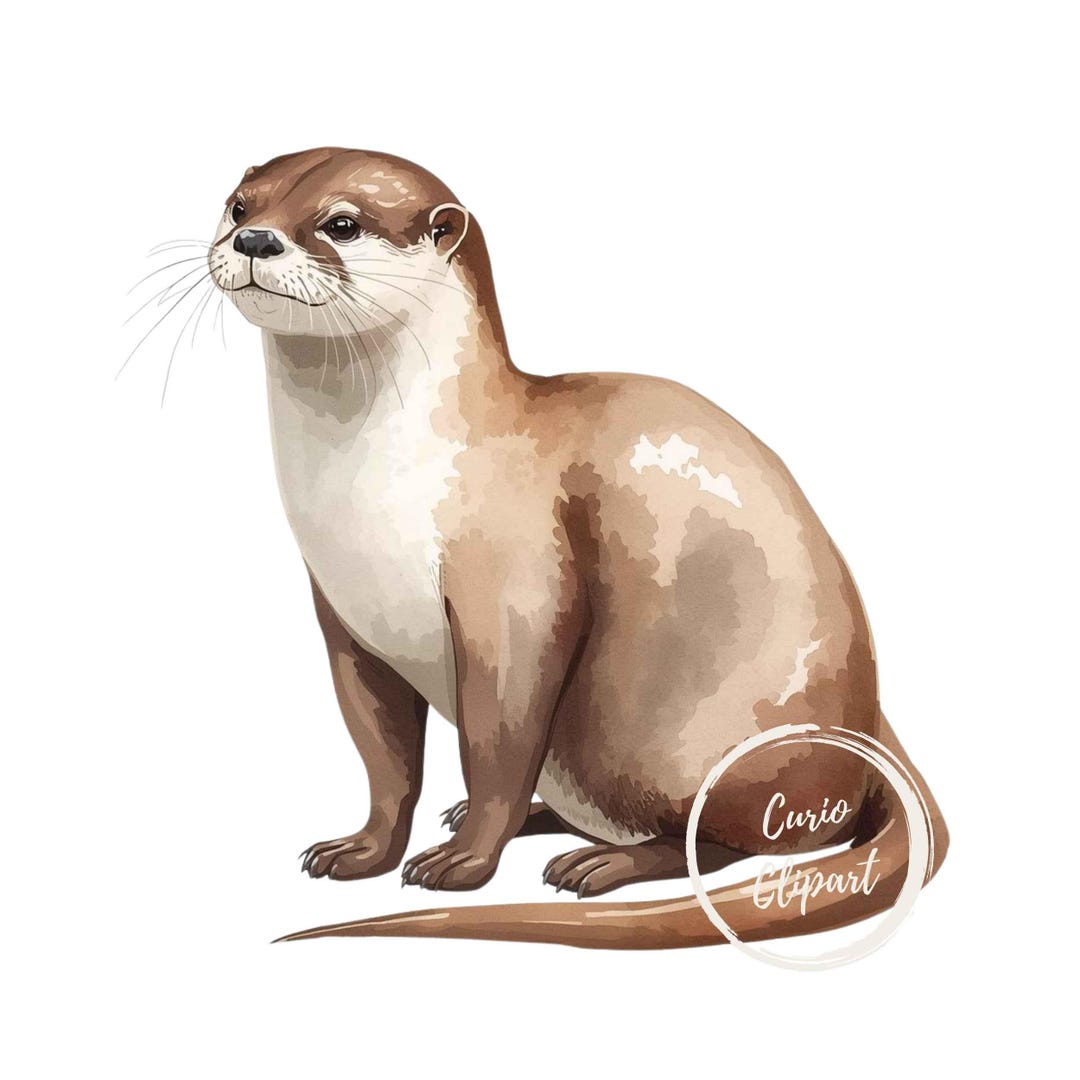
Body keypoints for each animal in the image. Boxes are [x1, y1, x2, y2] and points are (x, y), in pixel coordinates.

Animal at [207, 147, 947, 948]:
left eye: (341, 223)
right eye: (241, 205)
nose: (255, 240)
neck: (375, 490)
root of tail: (869, 723)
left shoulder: (511, 591)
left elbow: (496, 745)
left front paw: (463, 865)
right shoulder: (345, 618)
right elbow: (385, 758)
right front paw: (362, 849)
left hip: (678, 740)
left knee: (731, 838)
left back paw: (601, 864)